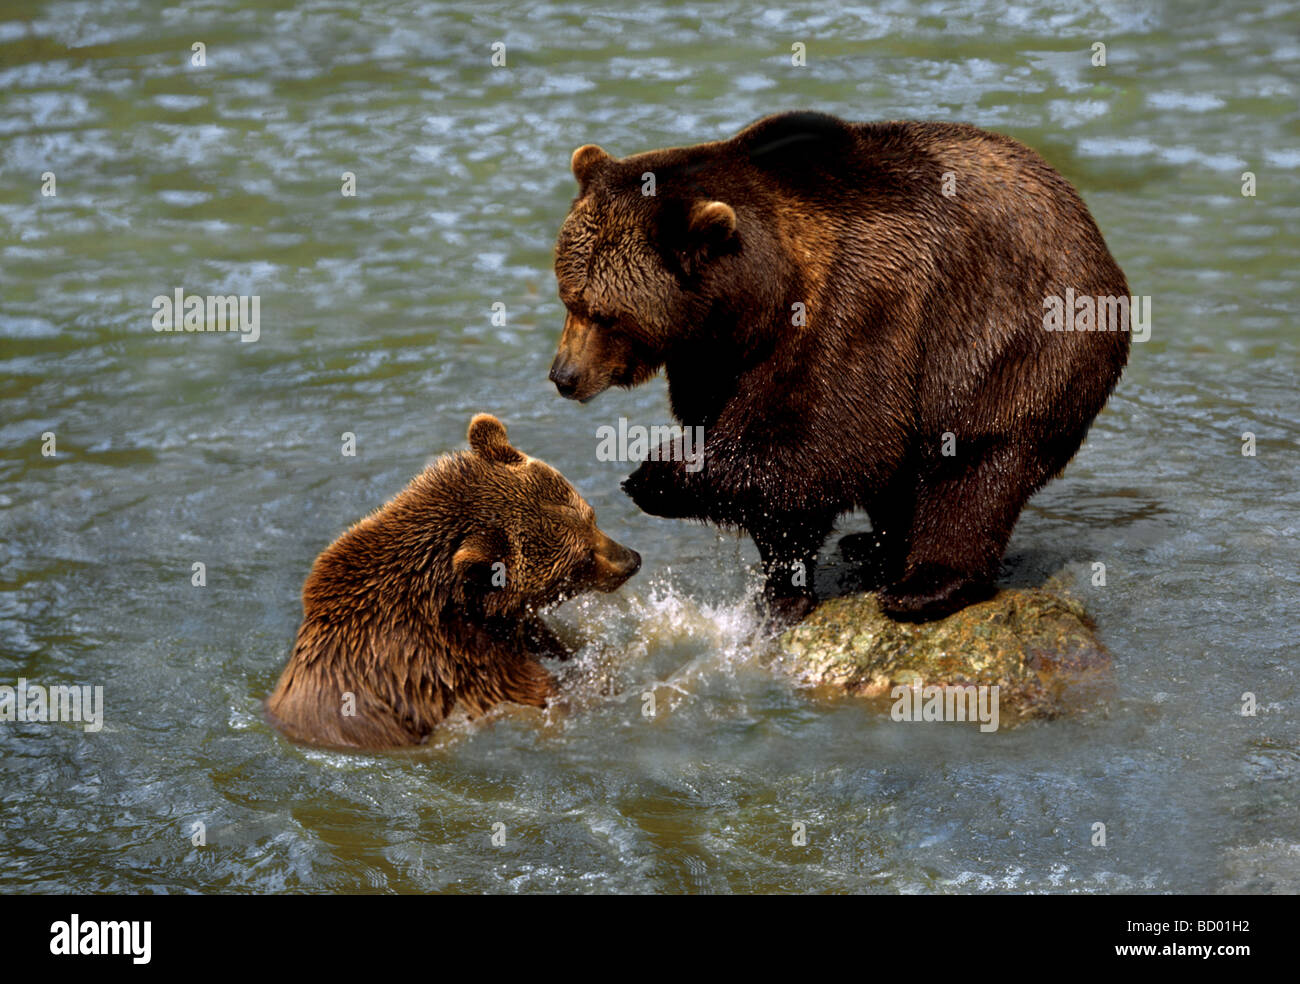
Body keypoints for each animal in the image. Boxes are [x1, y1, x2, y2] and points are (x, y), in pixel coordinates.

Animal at [548, 110, 1130, 625]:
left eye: (606, 314)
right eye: (569, 298)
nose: (564, 377)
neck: (757, 296)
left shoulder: (855, 308)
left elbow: (830, 440)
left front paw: (654, 474)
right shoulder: (717, 357)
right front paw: (782, 587)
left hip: (1015, 333)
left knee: (977, 461)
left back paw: (924, 585)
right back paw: (873, 545)